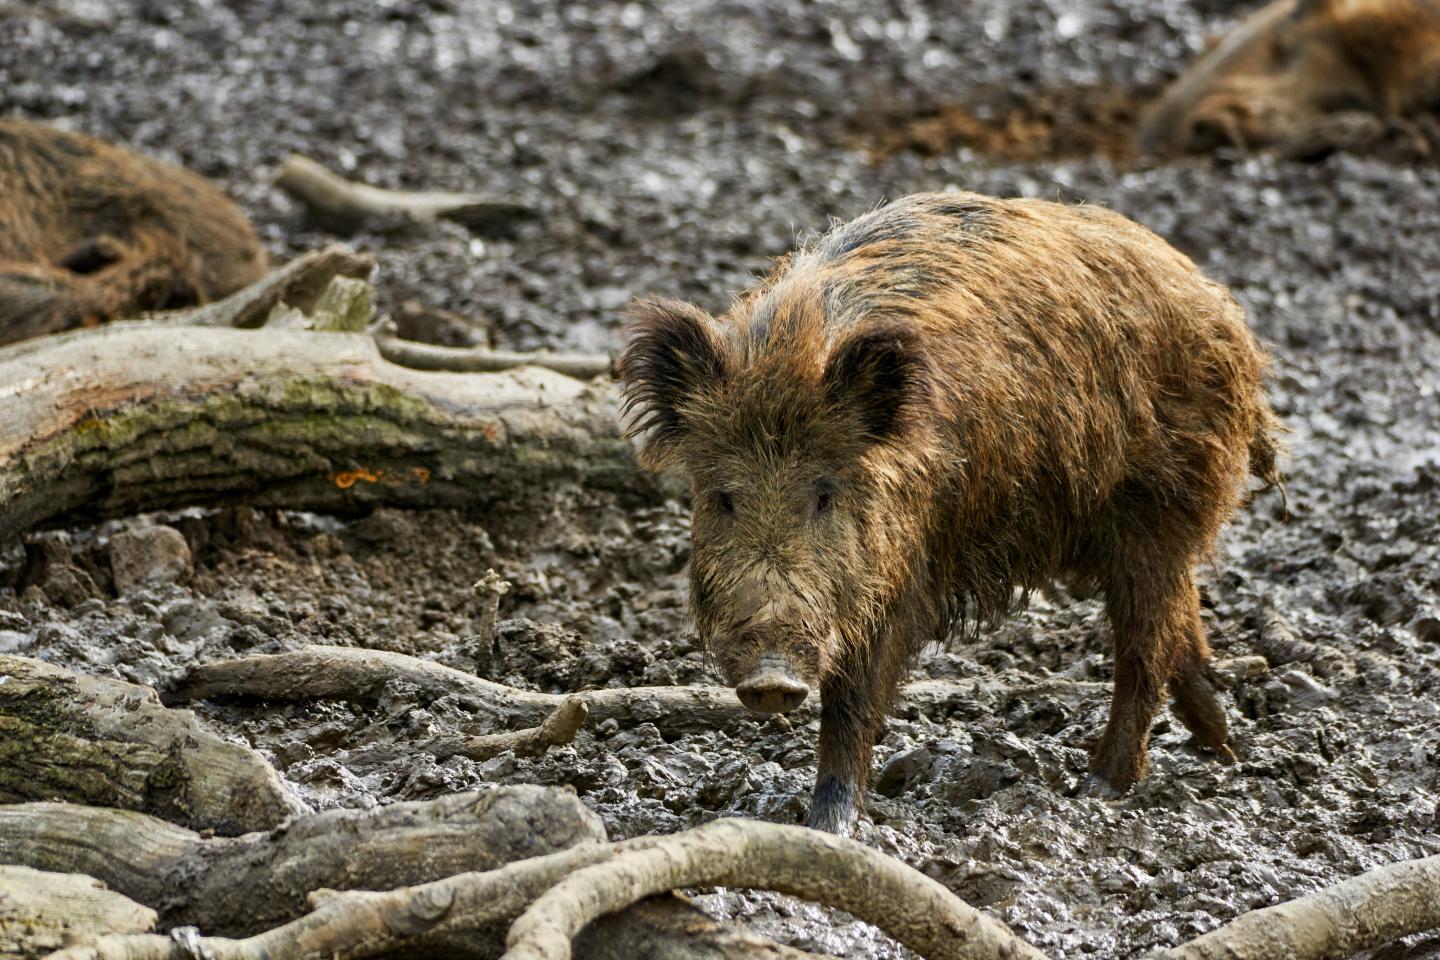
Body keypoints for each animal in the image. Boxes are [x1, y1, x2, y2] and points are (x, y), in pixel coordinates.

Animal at [619, 192, 1283, 833]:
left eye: (824, 493)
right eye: (724, 496)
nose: (771, 681)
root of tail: (1220, 309)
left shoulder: (903, 567)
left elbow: (855, 696)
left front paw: (828, 827)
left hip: (1156, 504)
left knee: (1145, 646)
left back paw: (1100, 787)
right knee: (1180, 620)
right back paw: (1219, 743)